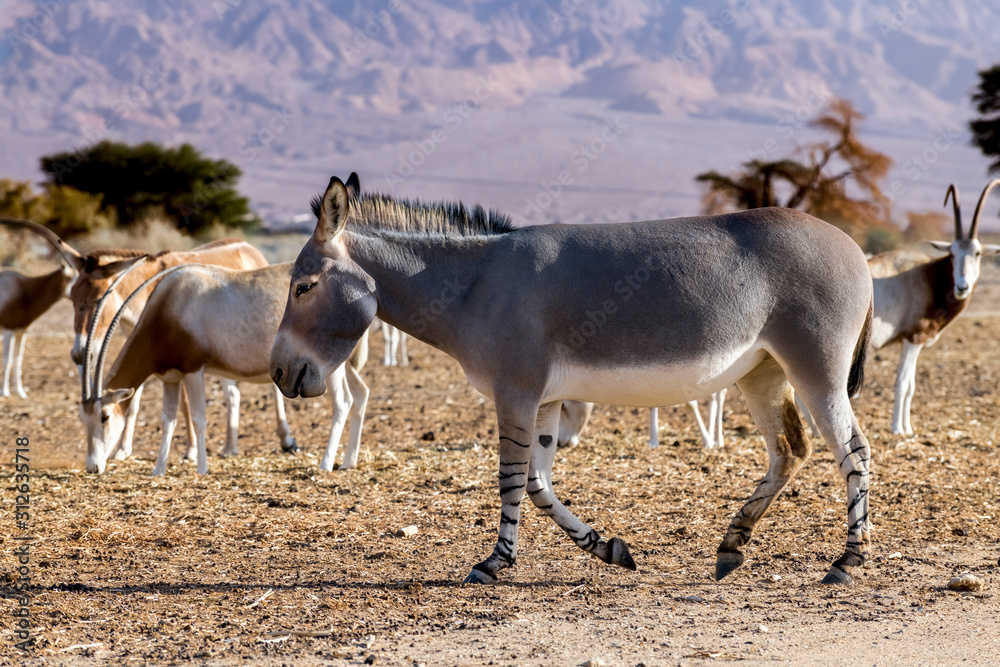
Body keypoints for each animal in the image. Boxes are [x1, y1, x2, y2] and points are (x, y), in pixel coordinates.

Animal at [0, 218, 78, 397]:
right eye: (76, 277)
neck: (24, 290)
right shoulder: (8, 330)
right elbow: (7, 360)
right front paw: (5, 392)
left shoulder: (22, 331)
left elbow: (18, 359)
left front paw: (20, 392)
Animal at [81, 261, 369, 475]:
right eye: (83, 418)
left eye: (104, 416)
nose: (92, 467)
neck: (169, 303)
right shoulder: (170, 378)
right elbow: (167, 420)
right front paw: (158, 471)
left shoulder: (193, 370)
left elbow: (198, 417)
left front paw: (202, 469)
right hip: (343, 363)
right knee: (361, 394)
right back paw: (348, 462)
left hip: (326, 366)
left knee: (343, 402)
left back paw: (326, 463)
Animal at [271, 177, 874, 586]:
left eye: (303, 287)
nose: (278, 373)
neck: (476, 286)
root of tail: (853, 245)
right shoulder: (545, 398)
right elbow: (539, 484)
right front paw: (606, 548)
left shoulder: (515, 391)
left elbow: (511, 479)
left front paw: (494, 564)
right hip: (763, 372)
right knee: (789, 450)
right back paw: (732, 546)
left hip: (816, 370)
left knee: (854, 449)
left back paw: (848, 561)